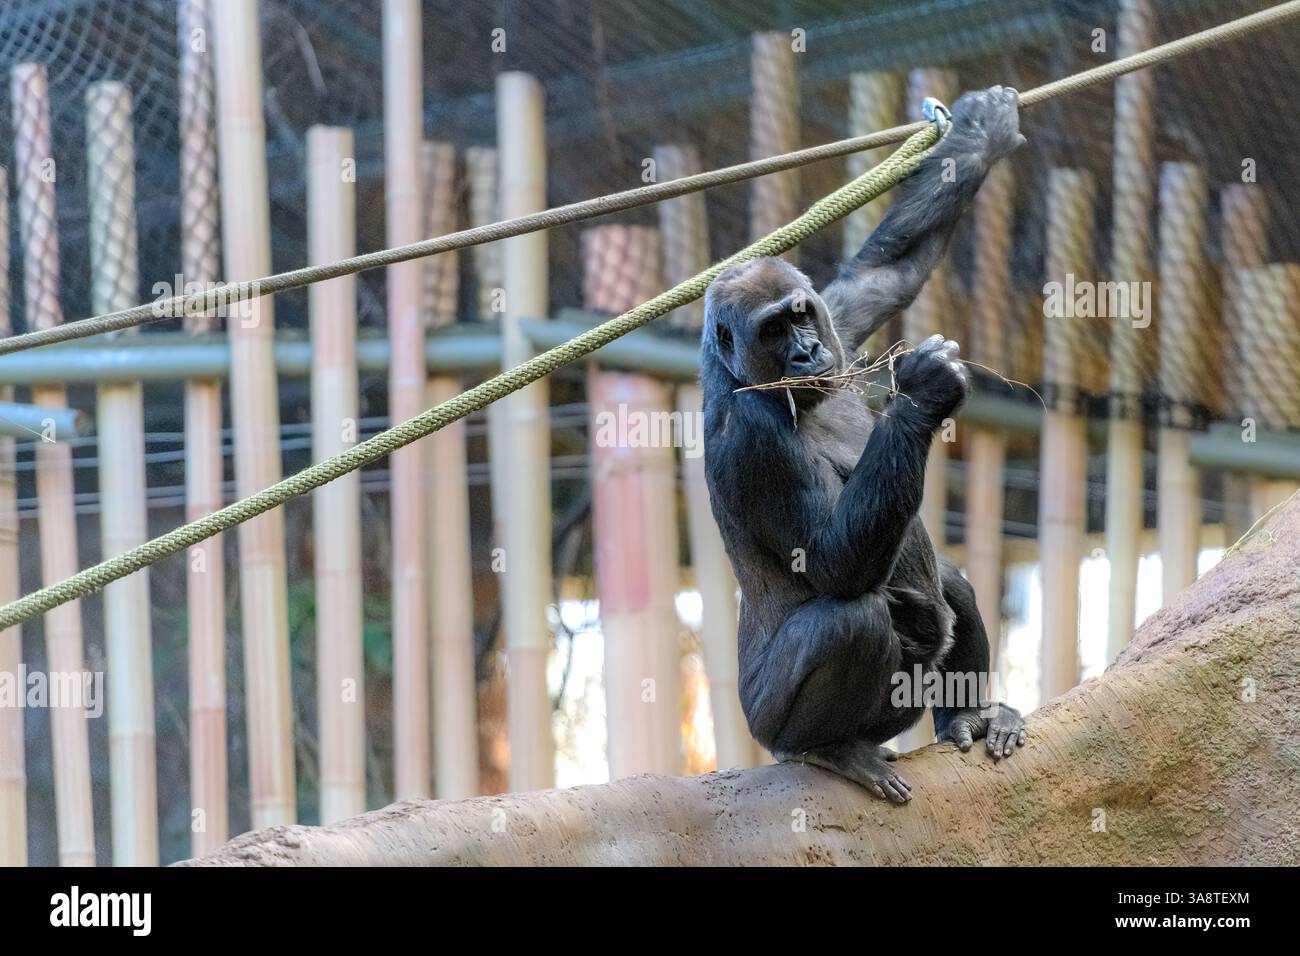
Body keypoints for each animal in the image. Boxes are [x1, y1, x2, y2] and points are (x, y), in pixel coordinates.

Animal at [700, 86, 1027, 803]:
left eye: (799, 316)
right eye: (771, 331)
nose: (805, 352)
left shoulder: (841, 326)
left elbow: (886, 273)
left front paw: (977, 139)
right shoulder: (749, 435)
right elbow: (831, 561)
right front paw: (924, 394)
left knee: (951, 584)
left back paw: (966, 715)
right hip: (763, 723)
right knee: (852, 620)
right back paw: (827, 750)